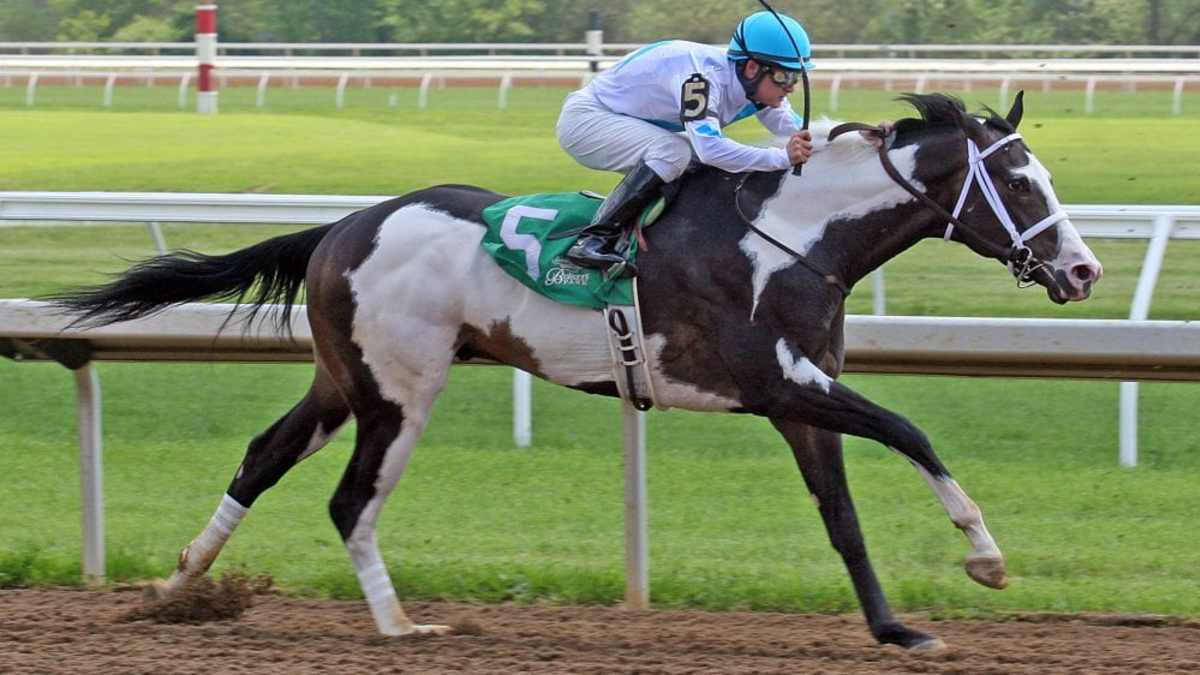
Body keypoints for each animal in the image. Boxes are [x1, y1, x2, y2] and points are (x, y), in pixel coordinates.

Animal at [50, 92, 1101, 651]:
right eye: (1019, 182)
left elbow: (842, 518)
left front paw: (895, 628)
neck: (793, 240)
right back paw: (400, 626)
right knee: (350, 500)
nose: (1083, 270)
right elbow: (911, 430)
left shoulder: (798, 401)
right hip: (401, 391)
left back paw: (183, 582)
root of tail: (344, 224)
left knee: (263, 455)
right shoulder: (778, 384)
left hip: (344, 380)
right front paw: (985, 555)